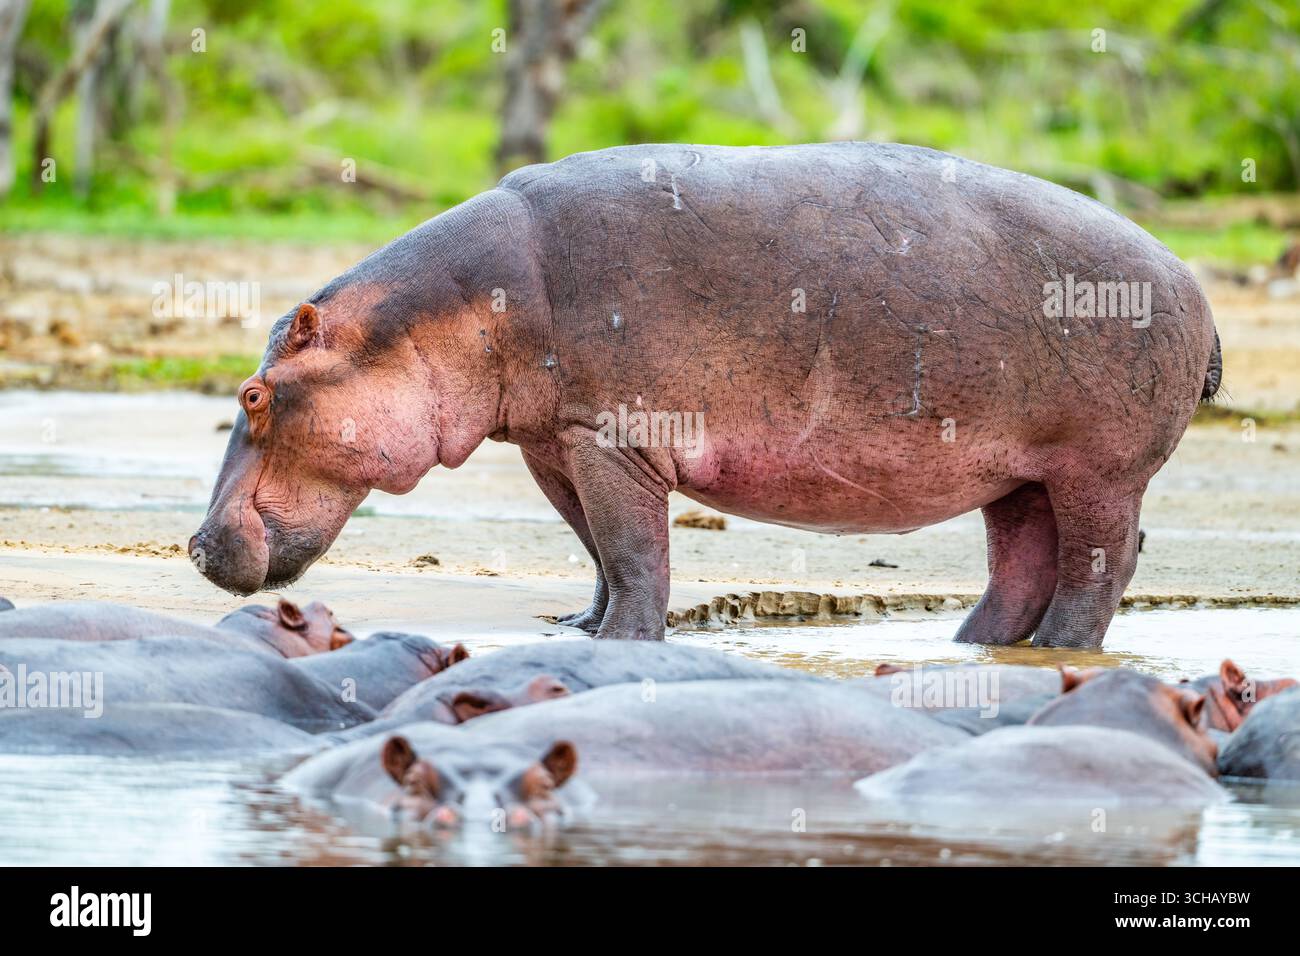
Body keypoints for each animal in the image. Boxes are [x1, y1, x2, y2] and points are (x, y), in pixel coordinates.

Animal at [189, 143, 1220, 648]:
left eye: (253, 394)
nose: (194, 546)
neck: (453, 310)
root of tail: (1194, 282)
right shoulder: (557, 440)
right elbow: (597, 548)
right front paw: (582, 628)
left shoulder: (612, 436)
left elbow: (634, 548)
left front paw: (623, 644)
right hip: (1020, 473)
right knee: (1024, 564)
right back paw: (978, 646)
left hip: (1099, 470)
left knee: (1101, 563)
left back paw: (1057, 653)